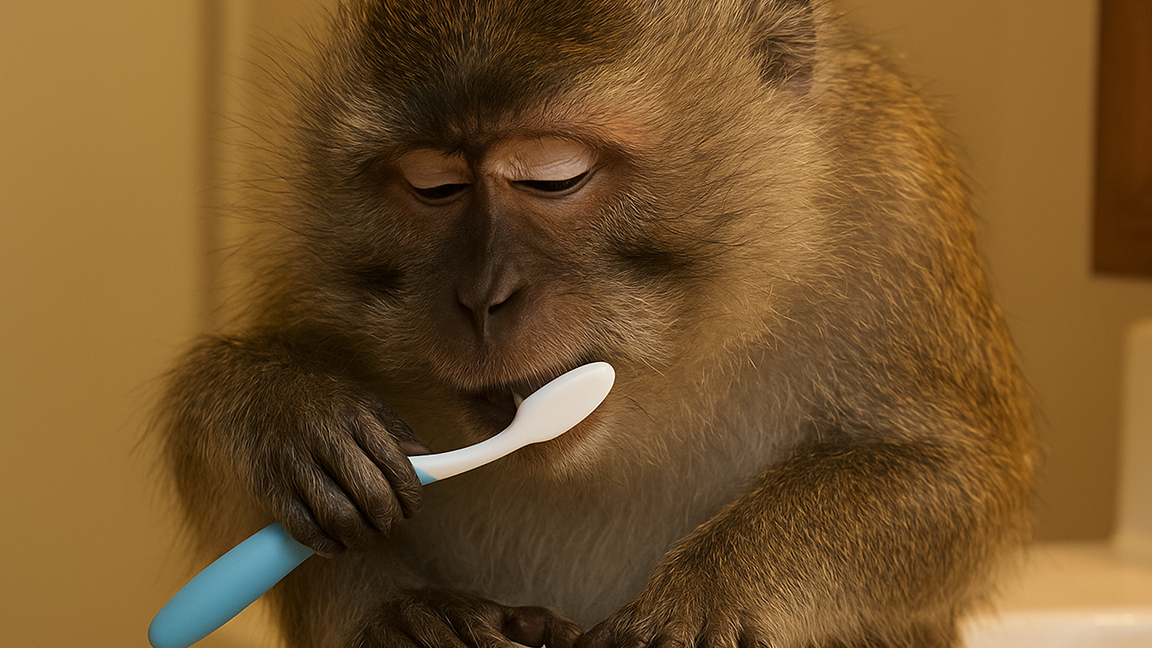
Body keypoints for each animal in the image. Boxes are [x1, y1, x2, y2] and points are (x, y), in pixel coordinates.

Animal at [156, 1, 1035, 647]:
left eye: (555, 176)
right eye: (433, 185)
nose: (483, 296)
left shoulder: (898, 200)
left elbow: (959, 484)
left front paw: (718, 582)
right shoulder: (320, 257)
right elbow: (212, 455)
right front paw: (280, 413)